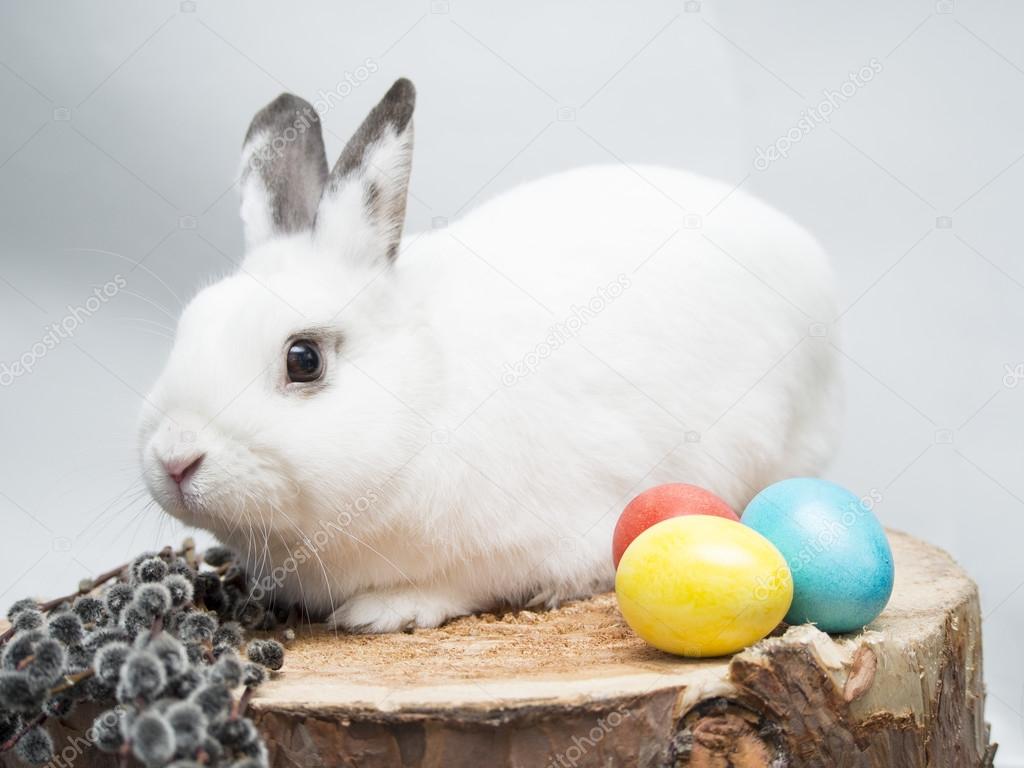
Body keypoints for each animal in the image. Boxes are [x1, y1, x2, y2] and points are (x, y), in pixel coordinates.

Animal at [139, 78, 842, 633]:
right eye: (188, 325)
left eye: (304, 359)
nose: (174, 458)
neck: (427, 390)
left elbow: (470, 583)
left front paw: (385, 611)